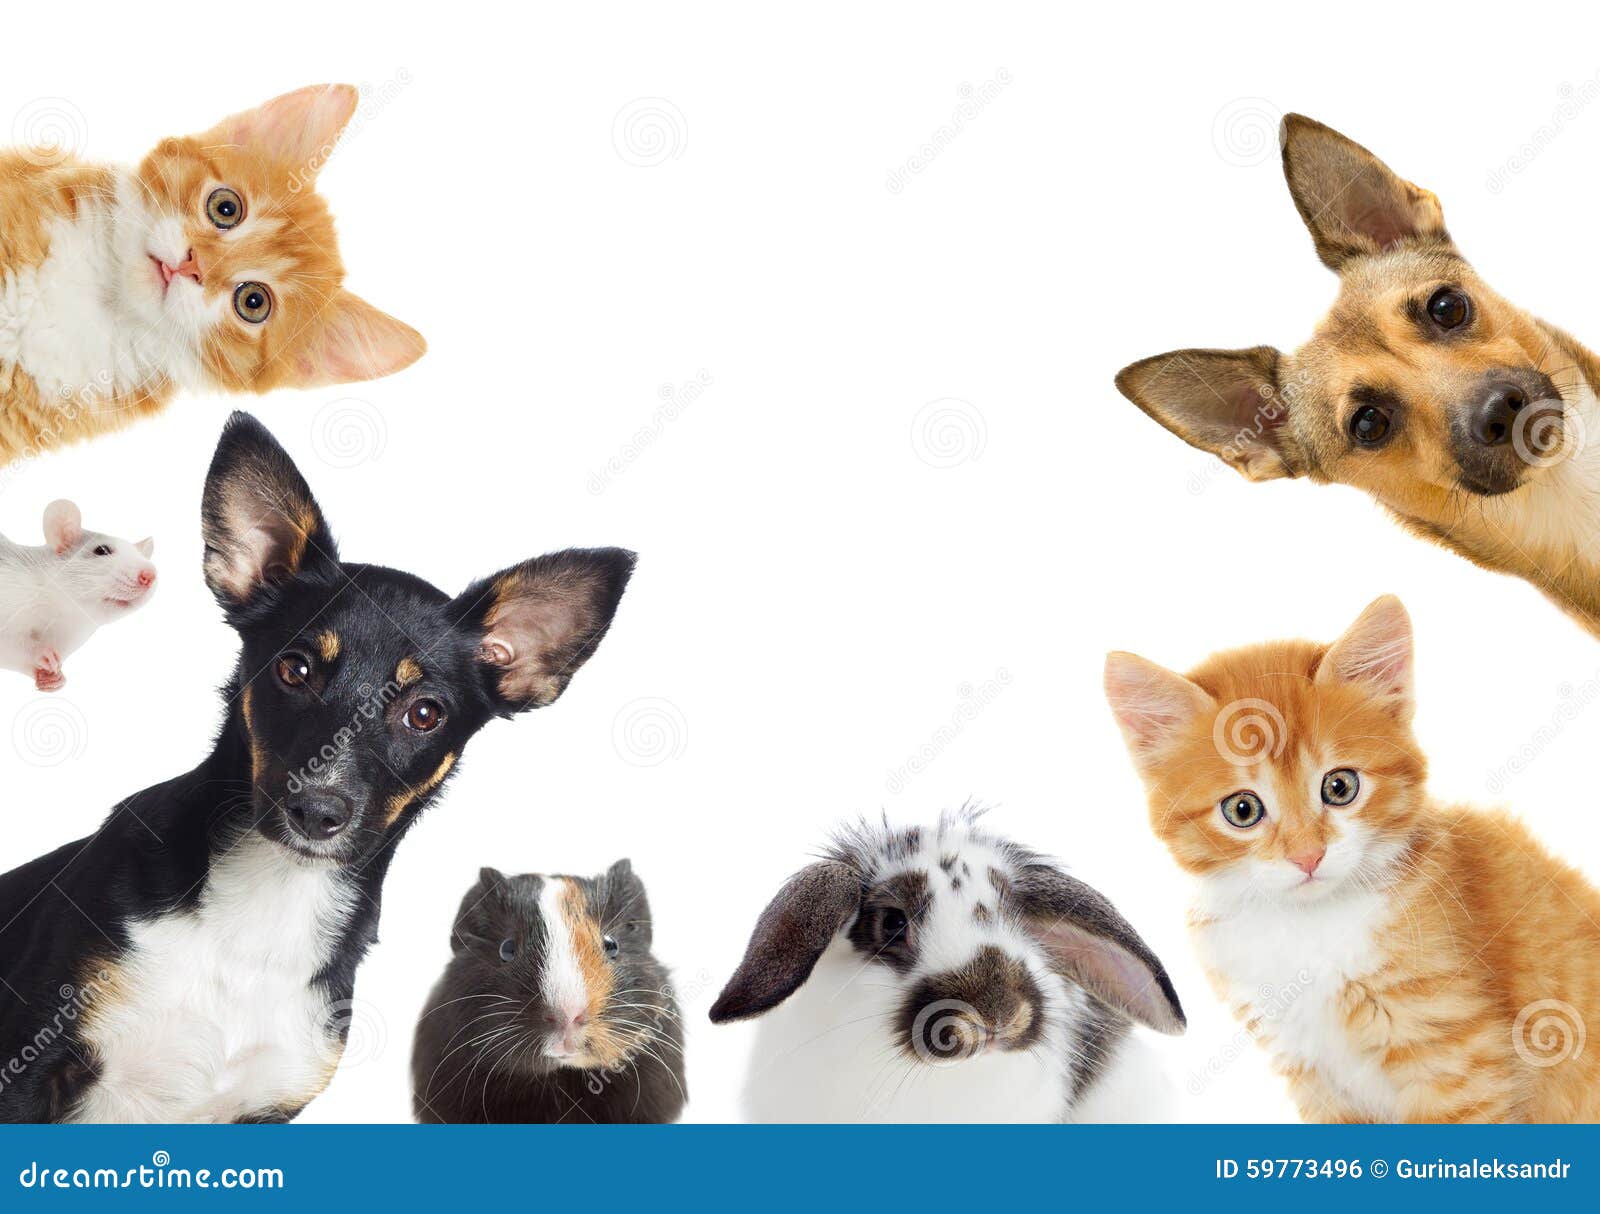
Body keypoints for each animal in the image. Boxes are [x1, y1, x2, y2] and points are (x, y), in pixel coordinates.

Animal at [0, 499, 155, 691]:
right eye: (102, 550)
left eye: (142, 557)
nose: (149, 575)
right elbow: (7, 642)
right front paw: (40, 653)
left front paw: (52, 677)